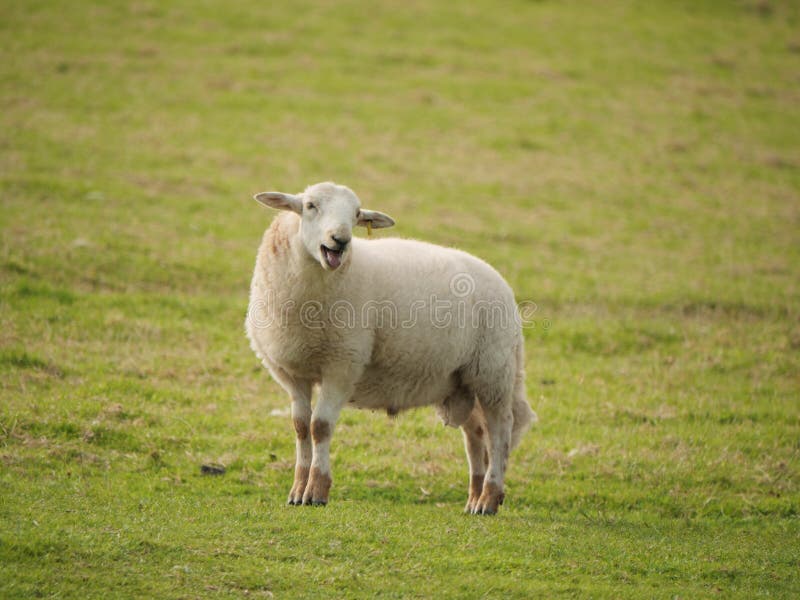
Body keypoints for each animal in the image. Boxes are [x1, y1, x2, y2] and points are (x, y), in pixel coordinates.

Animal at [245, 182, 536, 515]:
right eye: (310, 206)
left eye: (356, 213)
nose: (341, 241)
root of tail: (502, 283)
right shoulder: (292, 373)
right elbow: (300, 427)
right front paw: (297, 491)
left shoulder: (343, 364)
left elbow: (320, 427)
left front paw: (317, 491)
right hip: (463, 378)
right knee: (475, 434)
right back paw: (475, 497)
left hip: (493, 370)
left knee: (500, 430)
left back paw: (490, 497)